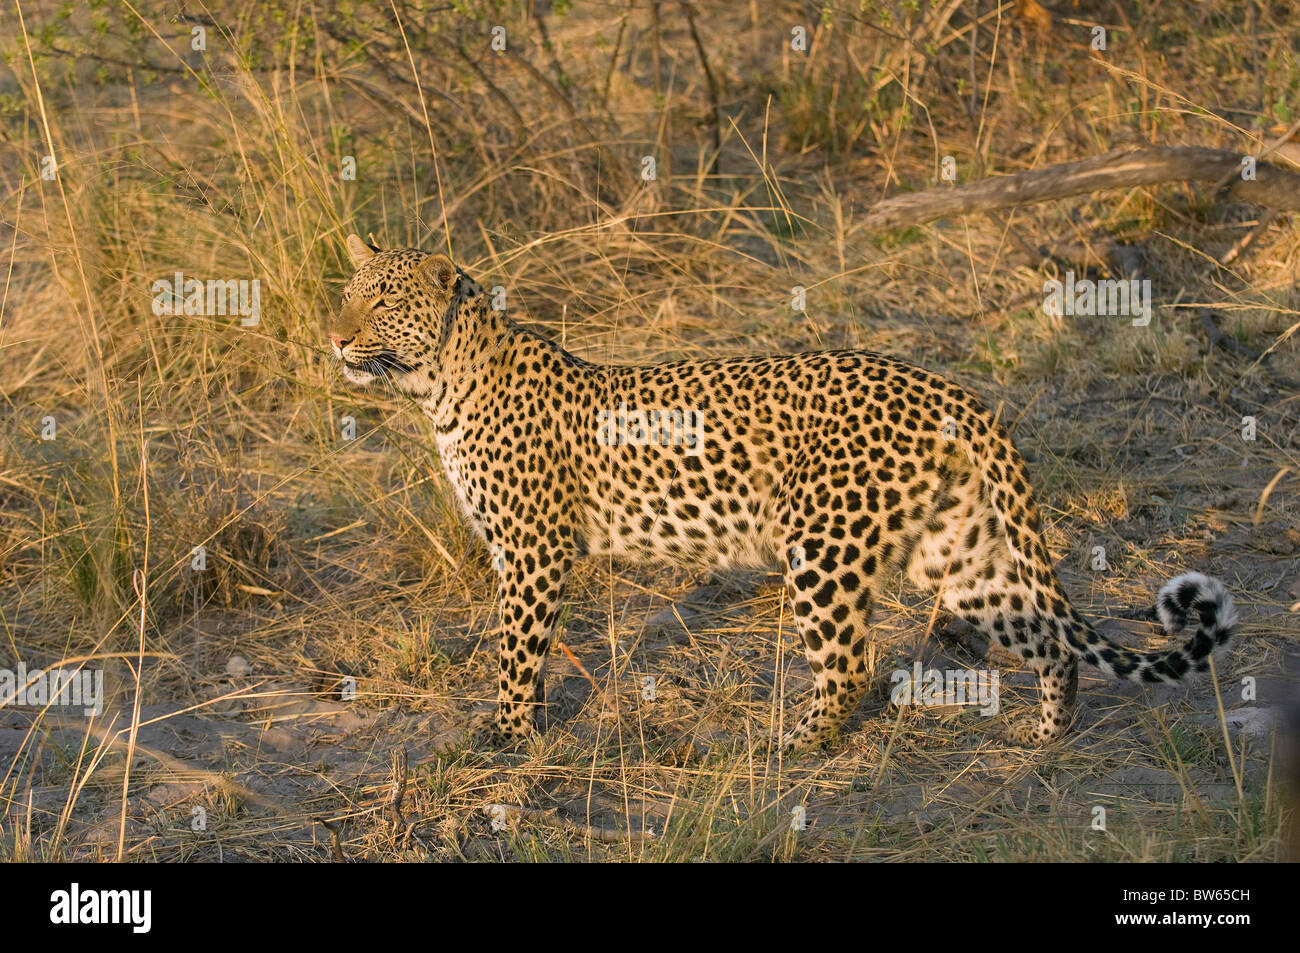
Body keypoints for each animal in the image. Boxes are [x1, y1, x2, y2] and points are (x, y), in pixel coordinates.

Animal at [328, 233, 1238, 753]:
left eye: (383, 298)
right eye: (348, 290)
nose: (333, 337)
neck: (439, 386)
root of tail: (954, 392)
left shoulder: (533, 550)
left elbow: (517, 649)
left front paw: (508, 732)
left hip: (824, 545)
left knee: (849, 664)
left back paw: (790, 745)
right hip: (958, 550)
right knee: (1048, 637)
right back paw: (1046, 739)